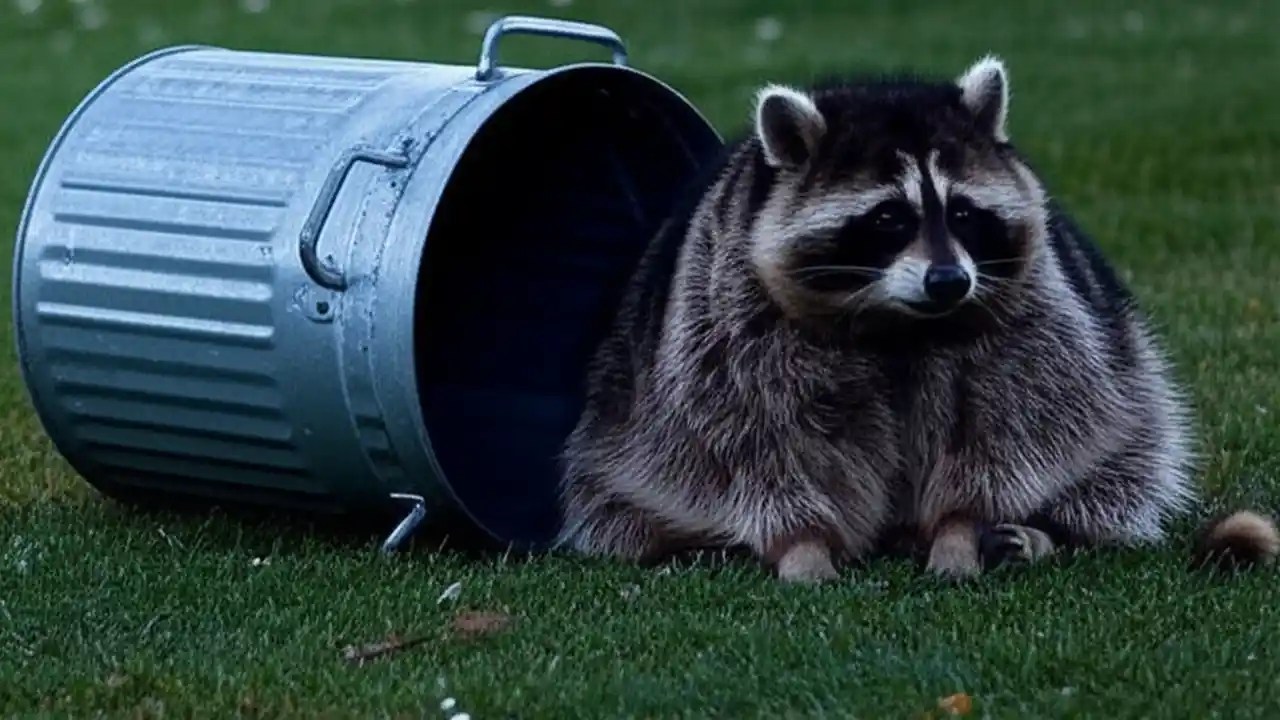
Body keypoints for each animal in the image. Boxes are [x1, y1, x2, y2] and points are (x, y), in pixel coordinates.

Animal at [556, 56, 1278, 582]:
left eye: (963, 212)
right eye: (887, 219)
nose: (949, 280)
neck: (894, 319)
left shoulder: (1036, 312)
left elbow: (1013, 426)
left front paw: (961, 529)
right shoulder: (728, 319)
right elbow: (754, 440)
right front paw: (802, 542)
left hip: (1129, 388)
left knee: (1123, 460)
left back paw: (1045, 531)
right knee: (627, 501)